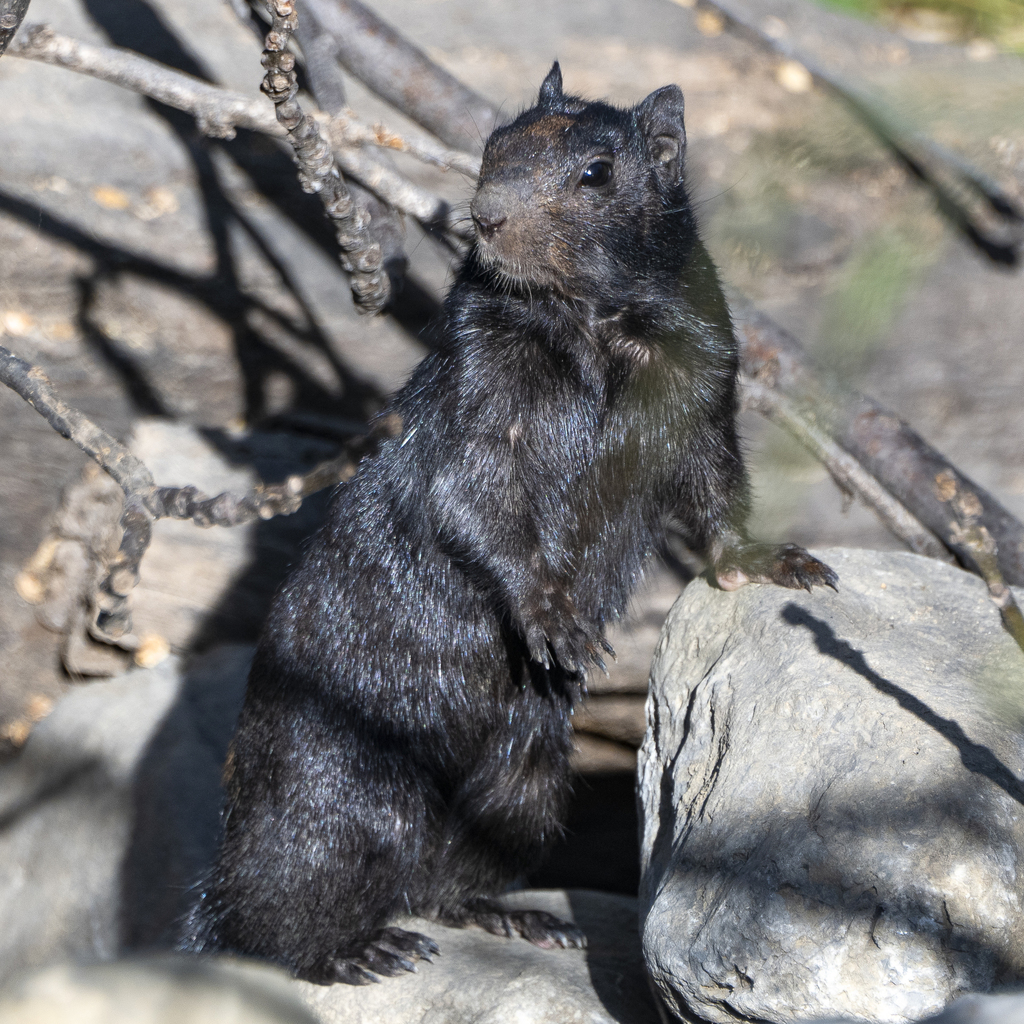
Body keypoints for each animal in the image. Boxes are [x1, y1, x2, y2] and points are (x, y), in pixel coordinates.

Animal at [181, 63, 837, 984]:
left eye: (597, 172)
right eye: (491, 144)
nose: (486, 213)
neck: (596, 333)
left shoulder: (703, 376)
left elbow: (716, 483)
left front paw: (776, 561)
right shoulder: (484, 387)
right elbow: (473, 496)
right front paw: (555, 621)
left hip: (526, 781)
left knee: (440, 878)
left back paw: (521, 919)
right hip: (338, 786)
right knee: (275, 911)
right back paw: (358, 951)